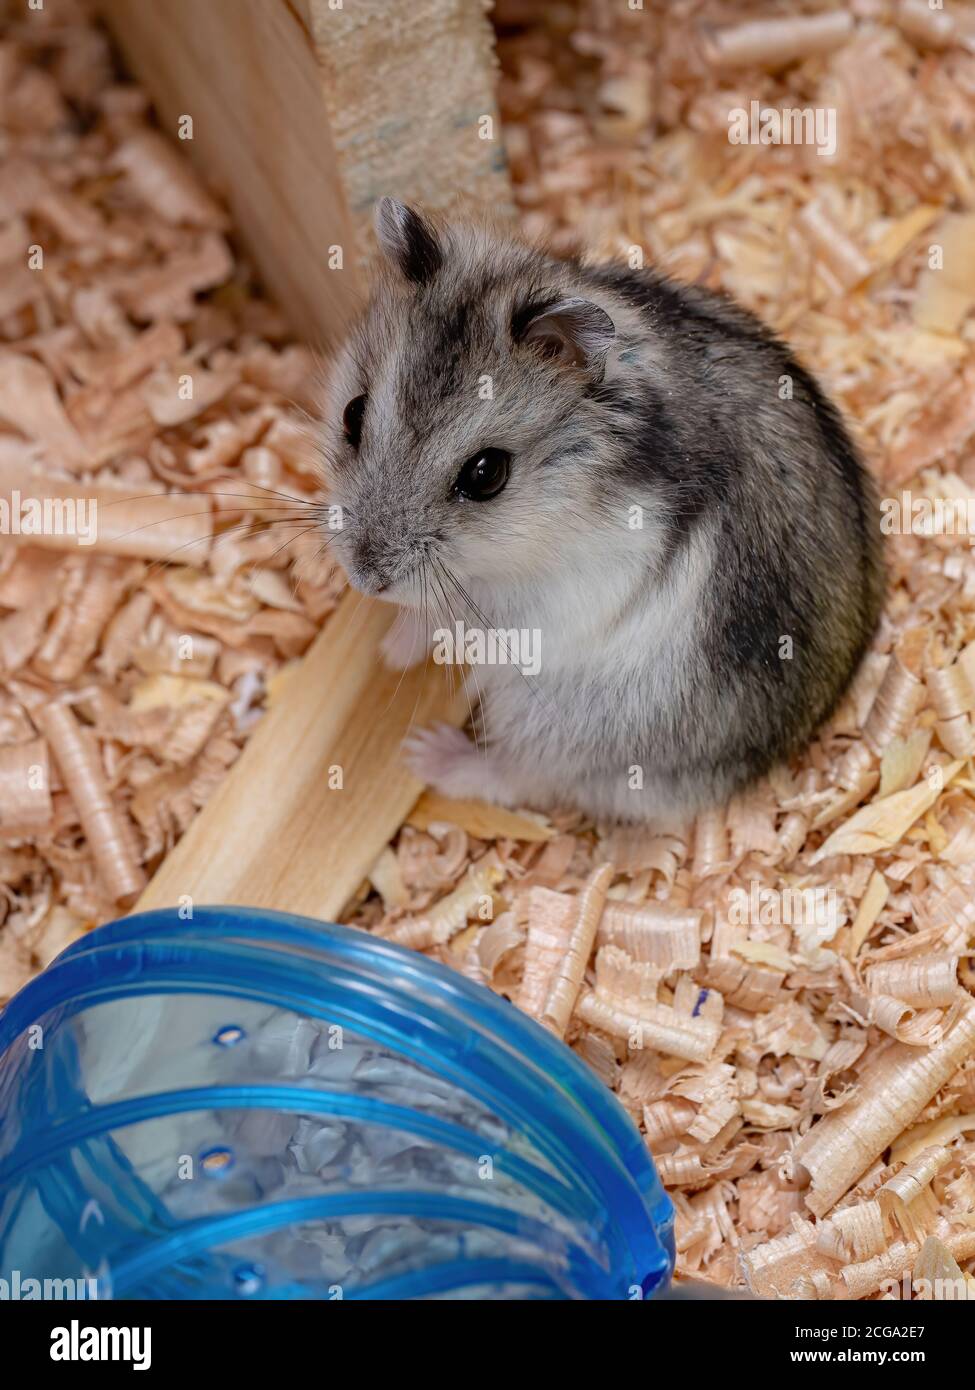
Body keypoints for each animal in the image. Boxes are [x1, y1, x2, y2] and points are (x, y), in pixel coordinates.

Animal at [318, 198, 884, 827]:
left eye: (486, 475)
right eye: (353, 414)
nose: (363, 578)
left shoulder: (558, 596)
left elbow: (458, 613)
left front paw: (394, 655)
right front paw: (390, 649)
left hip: (556, 720)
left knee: (524, 778)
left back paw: (429, 754)